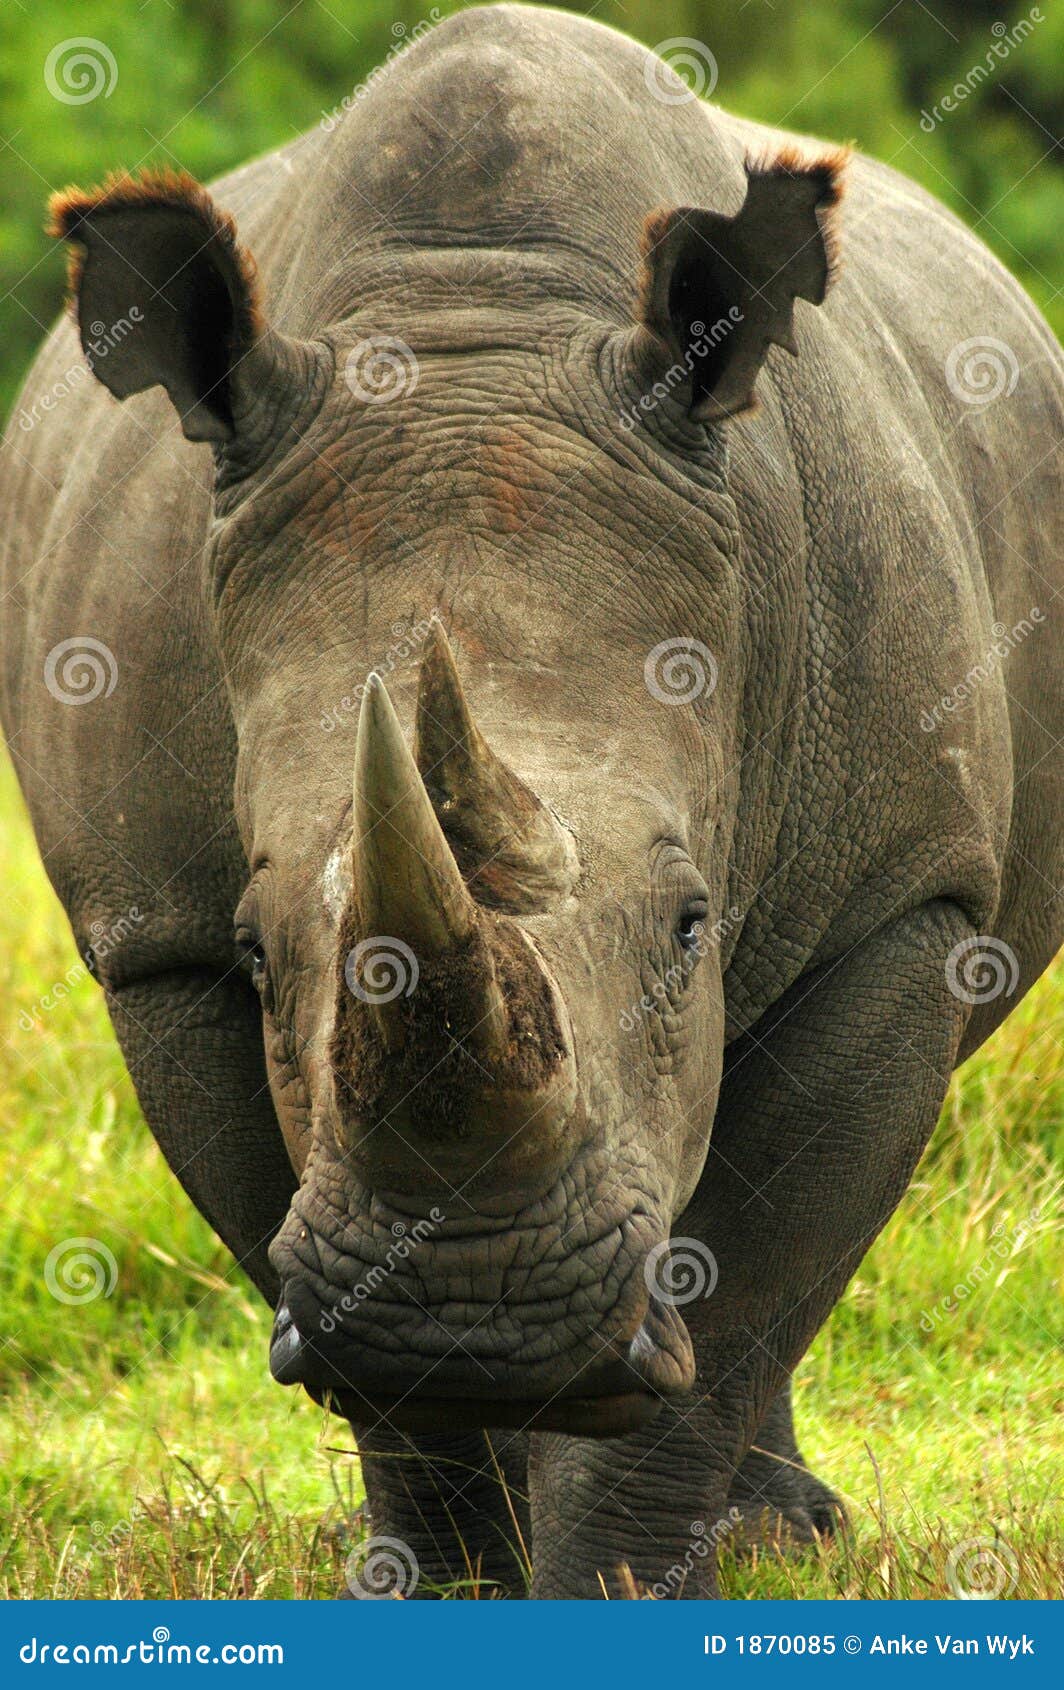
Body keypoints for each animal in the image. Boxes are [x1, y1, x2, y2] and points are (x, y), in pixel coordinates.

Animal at [2, 4, 1060, 1599]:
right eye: (256, 946)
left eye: (690, 923)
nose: (474, 1311)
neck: (471, 333)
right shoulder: (159, 939)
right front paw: (438, 1576)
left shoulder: (907, 893)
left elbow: (745, 1274)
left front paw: (627, 1587)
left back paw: (780, 1535)